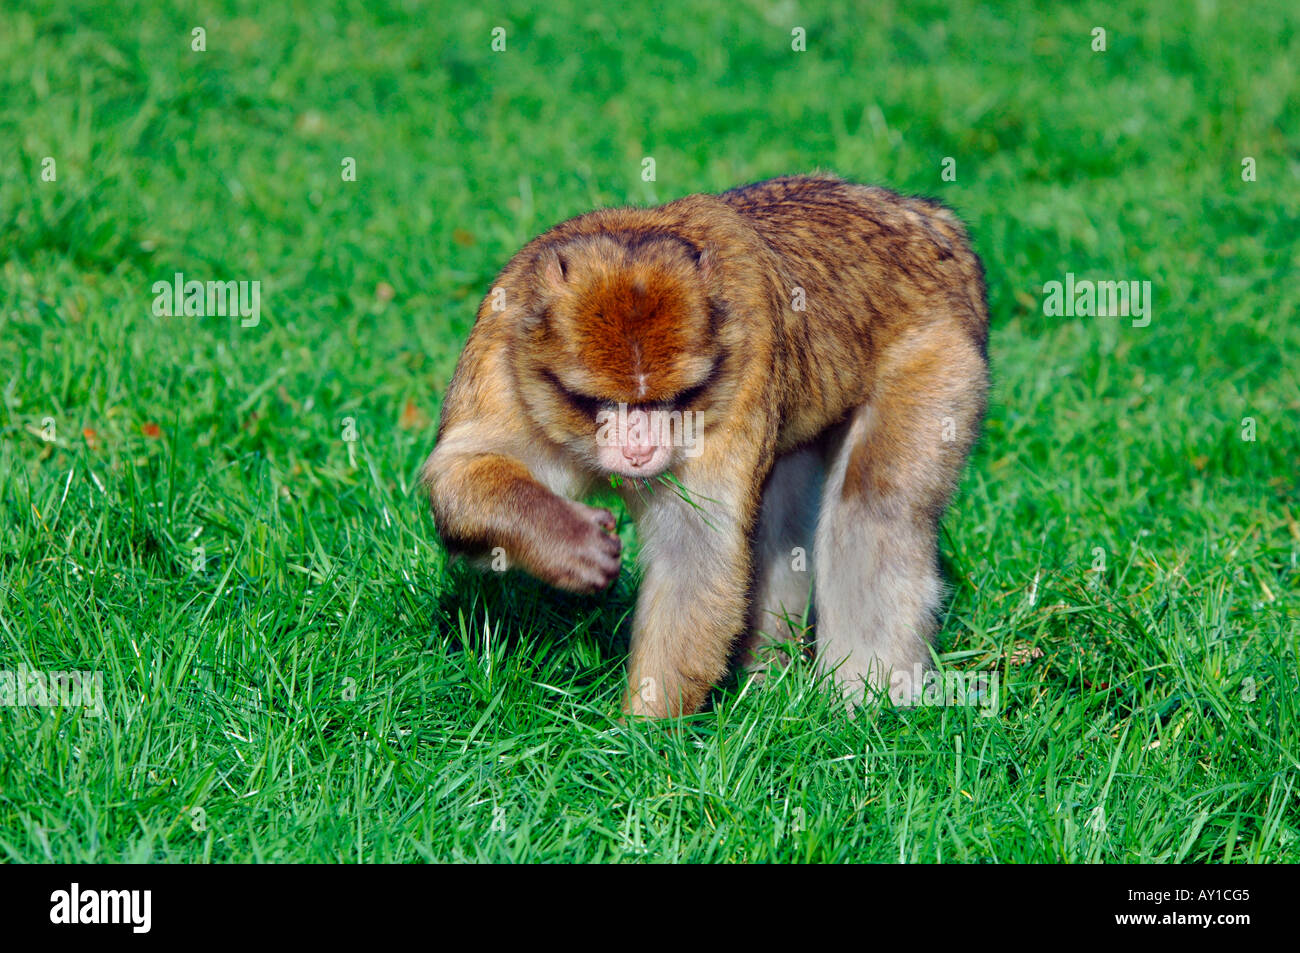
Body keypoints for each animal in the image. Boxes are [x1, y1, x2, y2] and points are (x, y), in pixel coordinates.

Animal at [422, 173, 989, 718]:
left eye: (672, 399)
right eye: (602, 401)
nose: (639, 450)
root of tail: (923, 214)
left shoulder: (743, 373)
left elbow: (695, 550)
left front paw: (643, 732)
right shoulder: (500, 349)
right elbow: (459, 472)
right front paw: (565, 539)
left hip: (941, 353)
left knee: (876, 509)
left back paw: (863, 703)